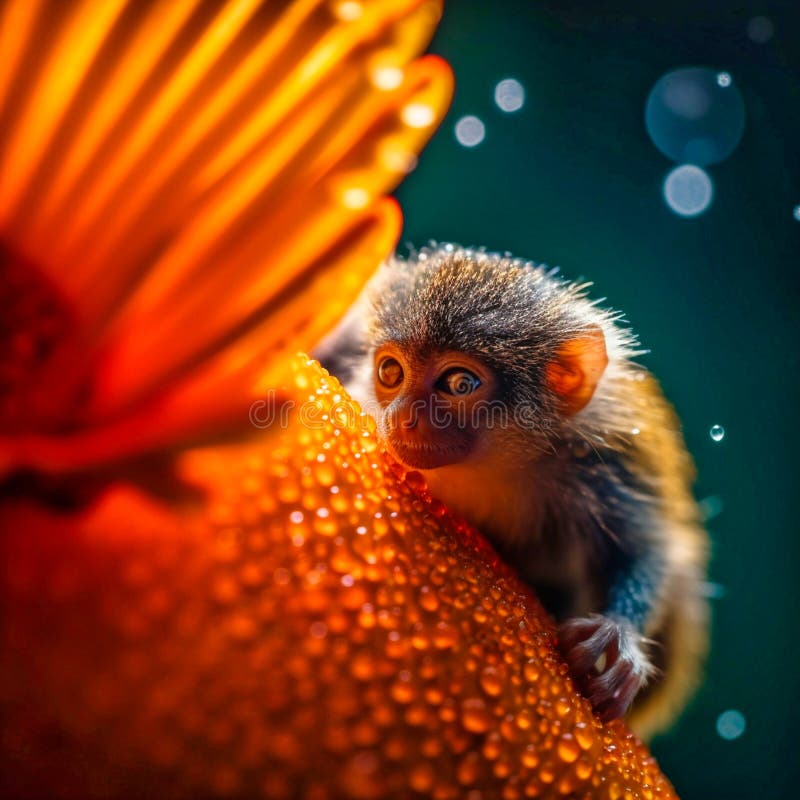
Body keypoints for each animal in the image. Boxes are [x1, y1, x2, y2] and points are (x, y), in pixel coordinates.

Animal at [314, 244, 710, 740]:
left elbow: (648, 546)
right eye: (390, 372)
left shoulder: (606, 460)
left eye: (459, 384)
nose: (403, 417)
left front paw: (621, 638)